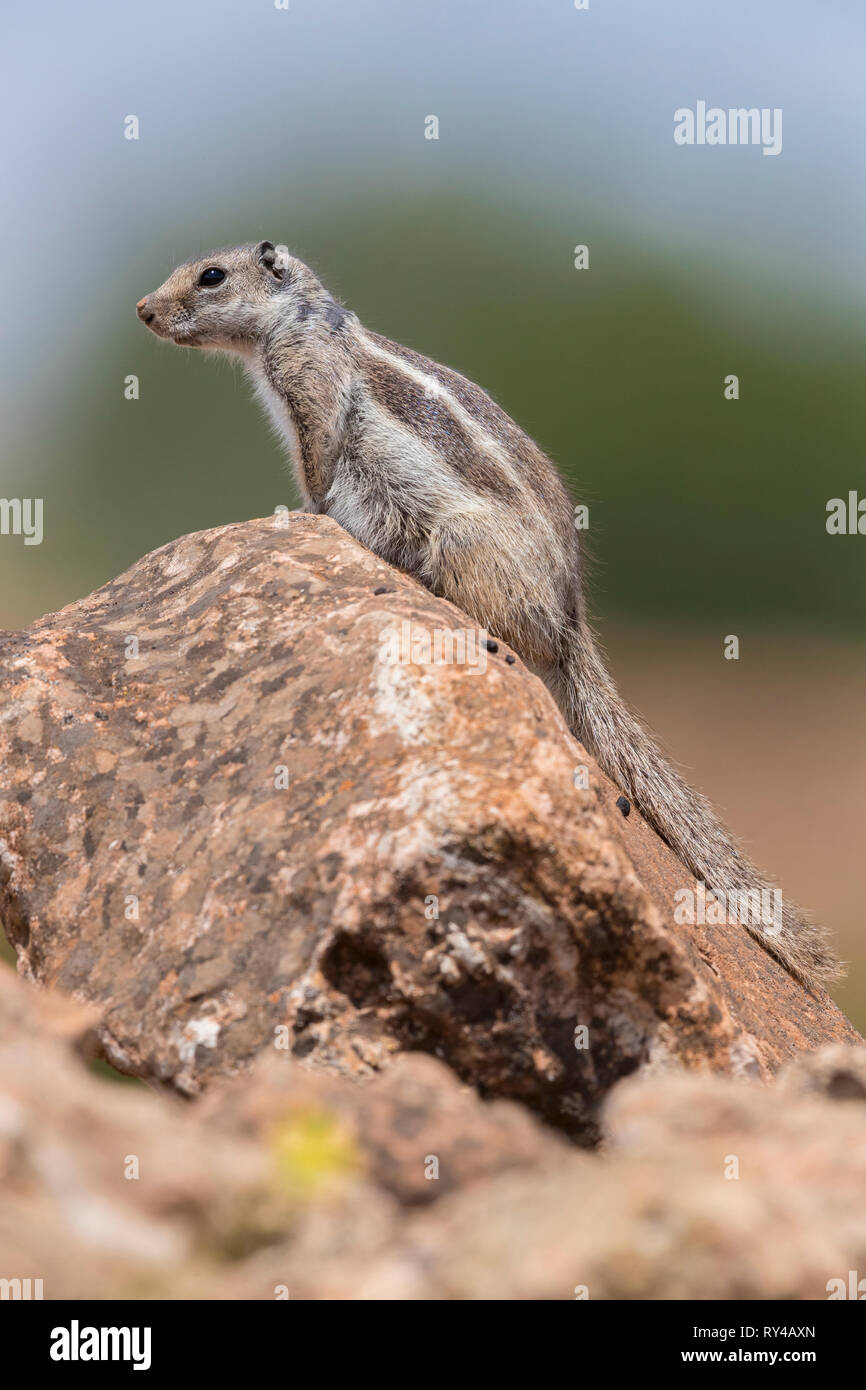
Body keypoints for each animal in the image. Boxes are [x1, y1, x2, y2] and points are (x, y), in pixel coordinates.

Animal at [137, 240, 838, 992]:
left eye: (211, 276)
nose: (143, 310)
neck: (304, 321)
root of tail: (569, 622)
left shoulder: (312, 389)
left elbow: (320, 465)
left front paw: (309, 513)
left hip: (462, 543)